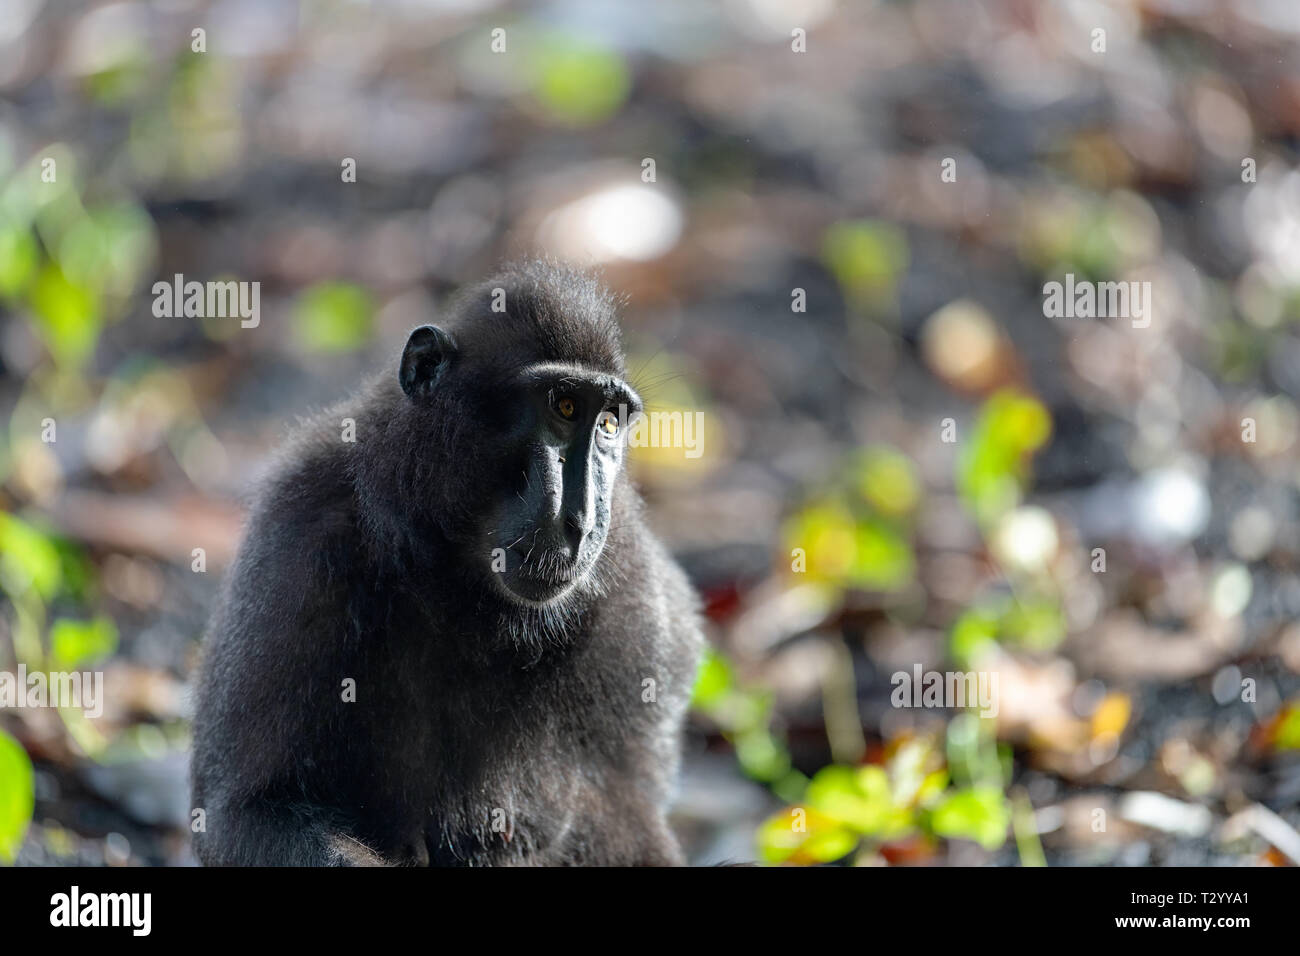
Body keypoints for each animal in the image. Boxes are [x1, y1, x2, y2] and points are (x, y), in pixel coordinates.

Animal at [190, 261, 704, 866]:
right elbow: (247, 813)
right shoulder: (302, 538)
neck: (460, 588)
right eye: (563, 405)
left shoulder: (644, 613)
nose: (580, 520)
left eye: (608, 424)